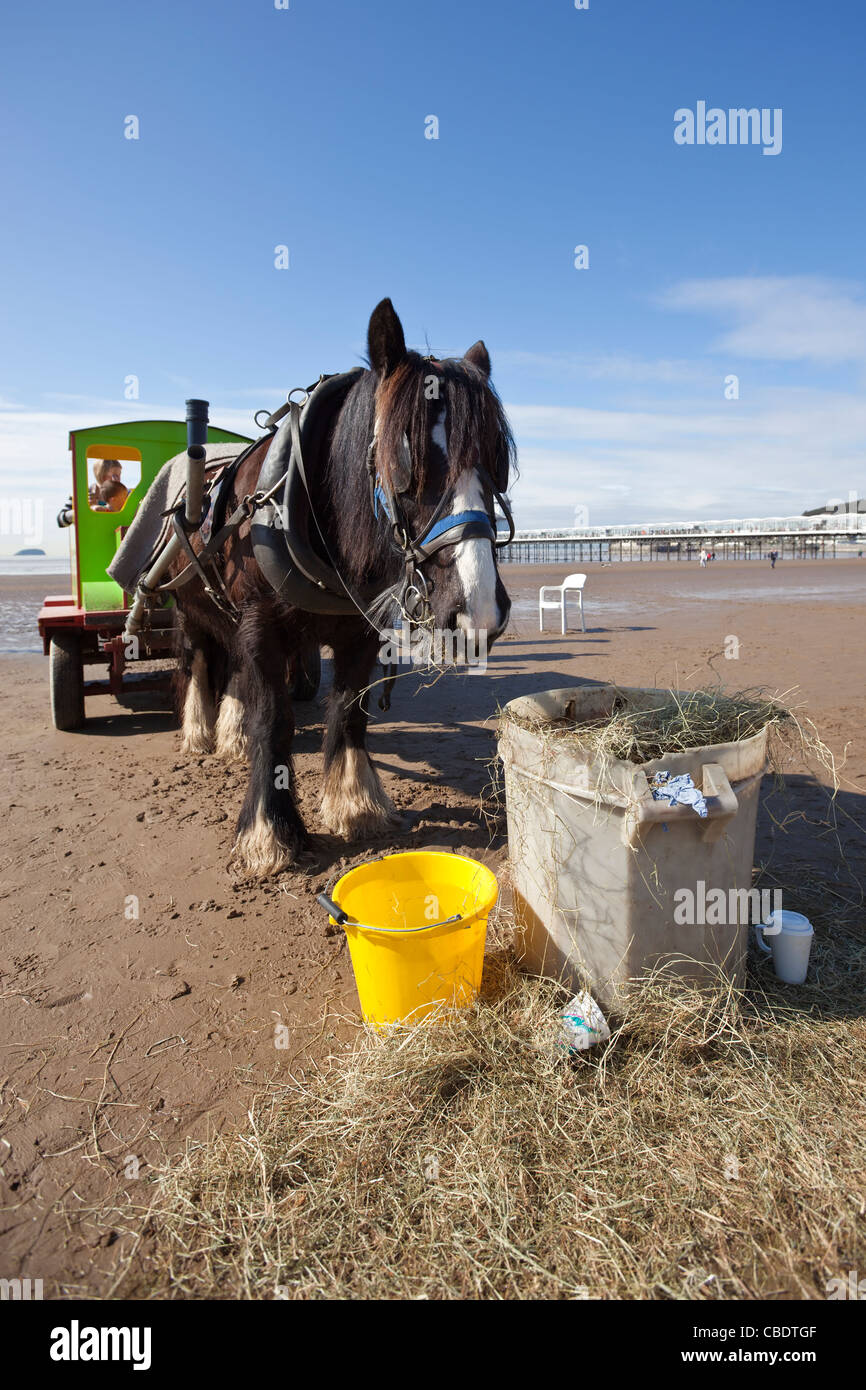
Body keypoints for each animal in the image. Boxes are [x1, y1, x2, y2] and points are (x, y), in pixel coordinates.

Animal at [171, 298, 515, 876]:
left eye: (496, 462)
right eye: (407, 460)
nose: (480, 612)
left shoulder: (360, 630)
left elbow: (350, 711)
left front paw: (356, 804)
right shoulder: (260, 622)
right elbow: (275, 720)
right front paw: (270, 831)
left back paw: (231, 733)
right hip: (188, 610)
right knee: (199, 659)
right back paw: (199, 731)